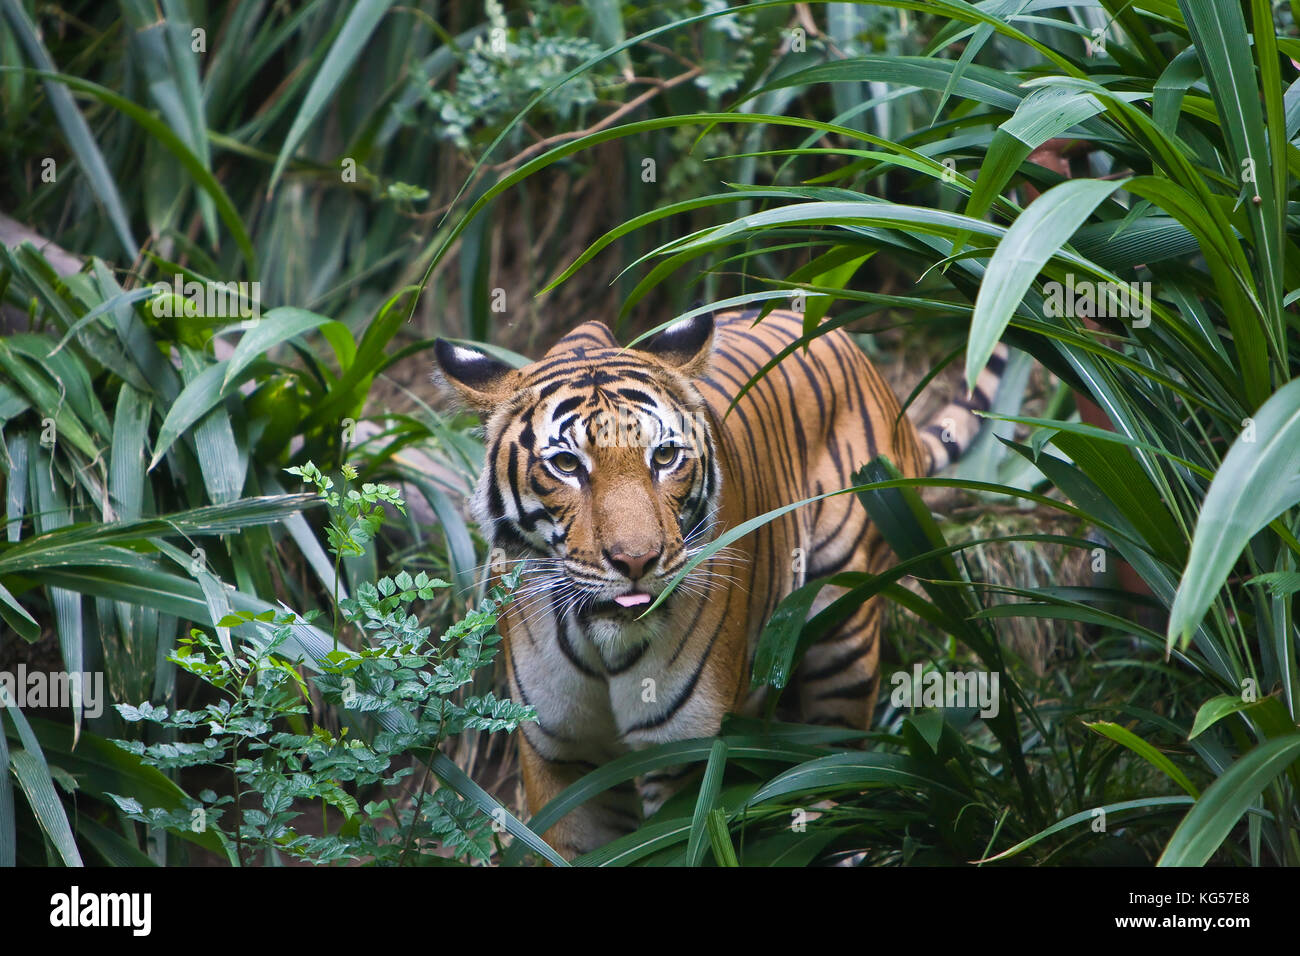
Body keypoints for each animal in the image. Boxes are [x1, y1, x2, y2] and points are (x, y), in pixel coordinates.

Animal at [434, 308, 1006, 859]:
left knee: (838, 768)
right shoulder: (561, 756)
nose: (636, 560)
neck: (603, 646)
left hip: (846, 627)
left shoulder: (687, 752)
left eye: (665, 457)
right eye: (566, 464)